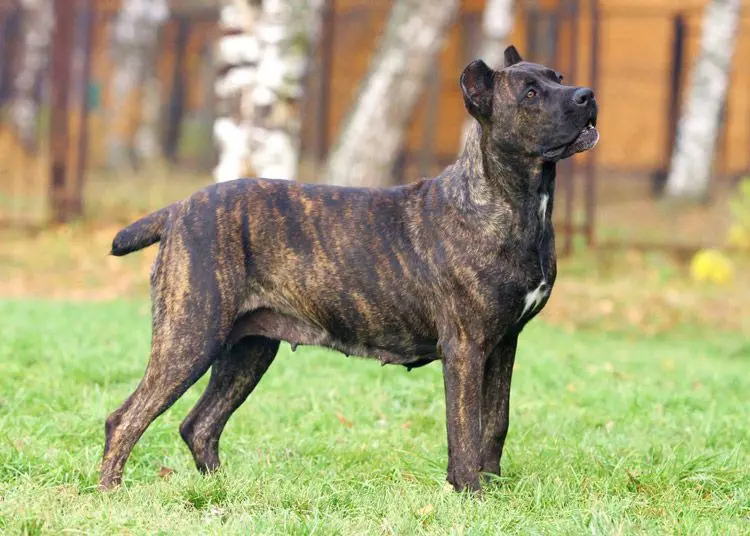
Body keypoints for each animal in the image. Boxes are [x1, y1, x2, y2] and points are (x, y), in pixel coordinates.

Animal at [103, 47, 604, 494]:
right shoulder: (466, 347)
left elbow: (496, 423)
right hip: (190, 338)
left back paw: (222, 491)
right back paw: (112, 494)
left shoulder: (504, 343)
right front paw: (470, 493)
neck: (513, 202)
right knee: (125, 418)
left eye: (558, 77)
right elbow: (464, 429)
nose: (587, 94)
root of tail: (177, 209)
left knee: (199, 425)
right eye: (531, 93)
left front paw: (495, 488)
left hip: (248, 350)